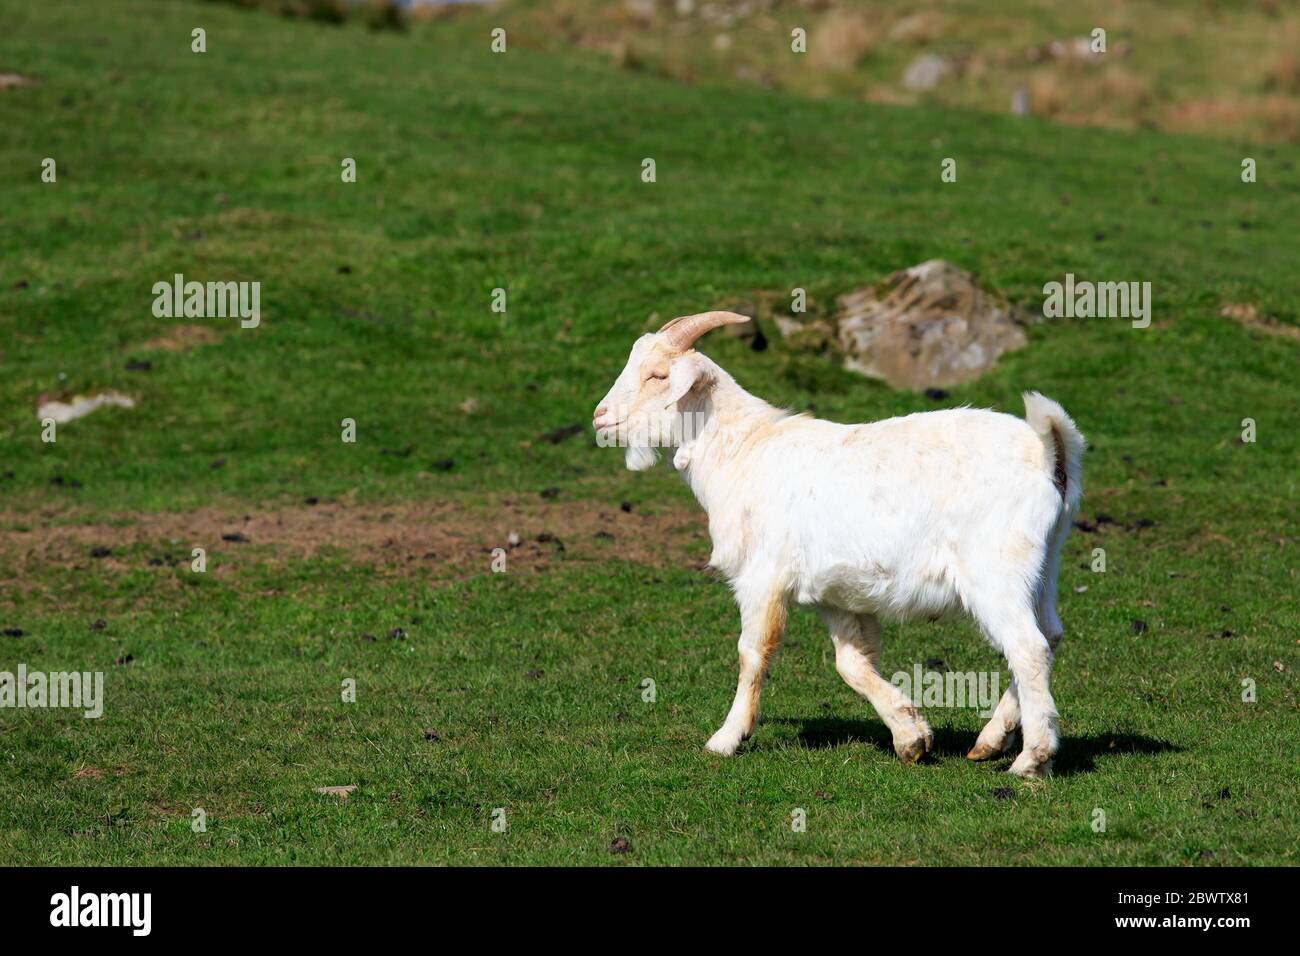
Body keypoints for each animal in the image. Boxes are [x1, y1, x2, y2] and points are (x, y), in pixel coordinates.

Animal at [593, 311, 1086, 778]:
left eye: (658, 375)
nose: (600, 416)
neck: (743, 450)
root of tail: (1048, 454)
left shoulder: (762, 578)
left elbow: (753, 653)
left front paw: (727, 738)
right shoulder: (835, 592)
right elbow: (852, 663)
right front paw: (911, 736)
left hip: (995, 571)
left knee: (1028, 648)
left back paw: (1031, 760)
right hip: (1045, 565)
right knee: (1050, 634)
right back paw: (990, 740)